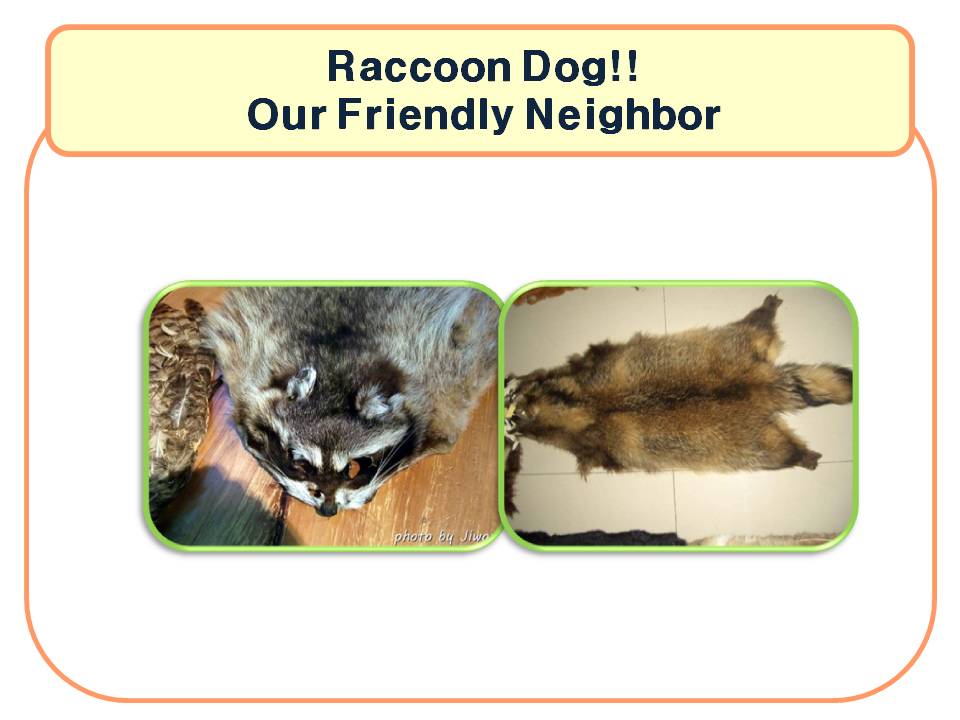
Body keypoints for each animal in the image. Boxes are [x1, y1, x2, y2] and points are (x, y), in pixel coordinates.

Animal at [203, 287, 497, 517]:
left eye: (355, 467)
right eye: (300, 462)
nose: (328, 510)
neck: (338, 368)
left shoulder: (446, 370)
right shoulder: (249, 346)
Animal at [507, 295, 852, 481]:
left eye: (517, 416)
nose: (510, 385)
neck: (583, 407)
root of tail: (760, 384)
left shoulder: (593, 377)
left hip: (751, 443)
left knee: (781, 452)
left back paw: (802, 455)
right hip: (741, 346)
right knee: (757, 329)